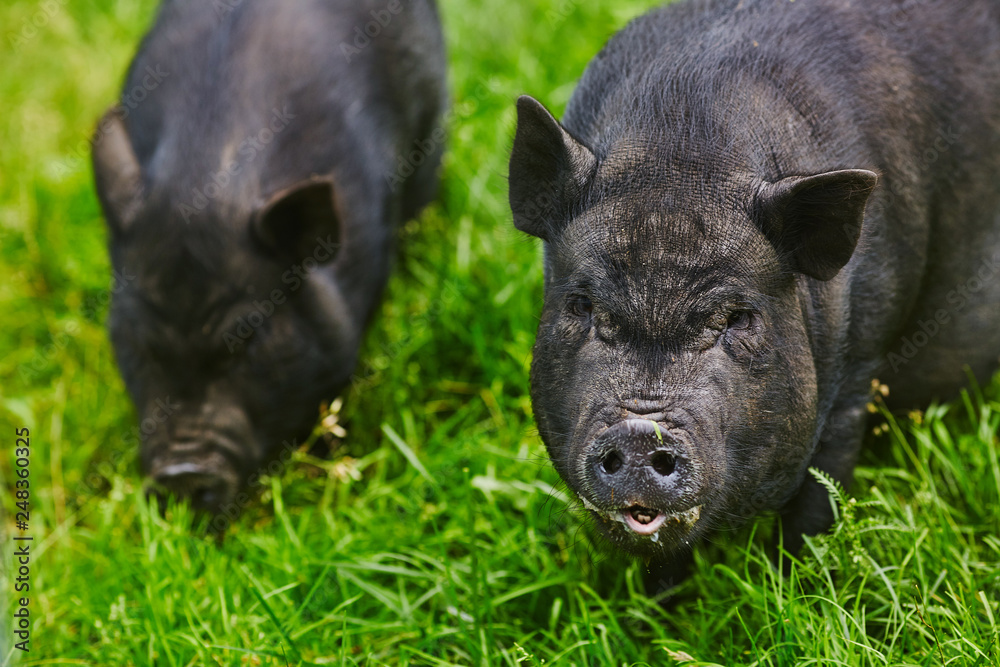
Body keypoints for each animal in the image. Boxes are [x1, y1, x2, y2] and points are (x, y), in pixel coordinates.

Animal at [509, 0, 1000, 586]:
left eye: (739, 317)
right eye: (582, 305)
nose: (641, 432)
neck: (680, 147)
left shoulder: (859, 368)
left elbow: (817, 504)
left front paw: (799, 585)